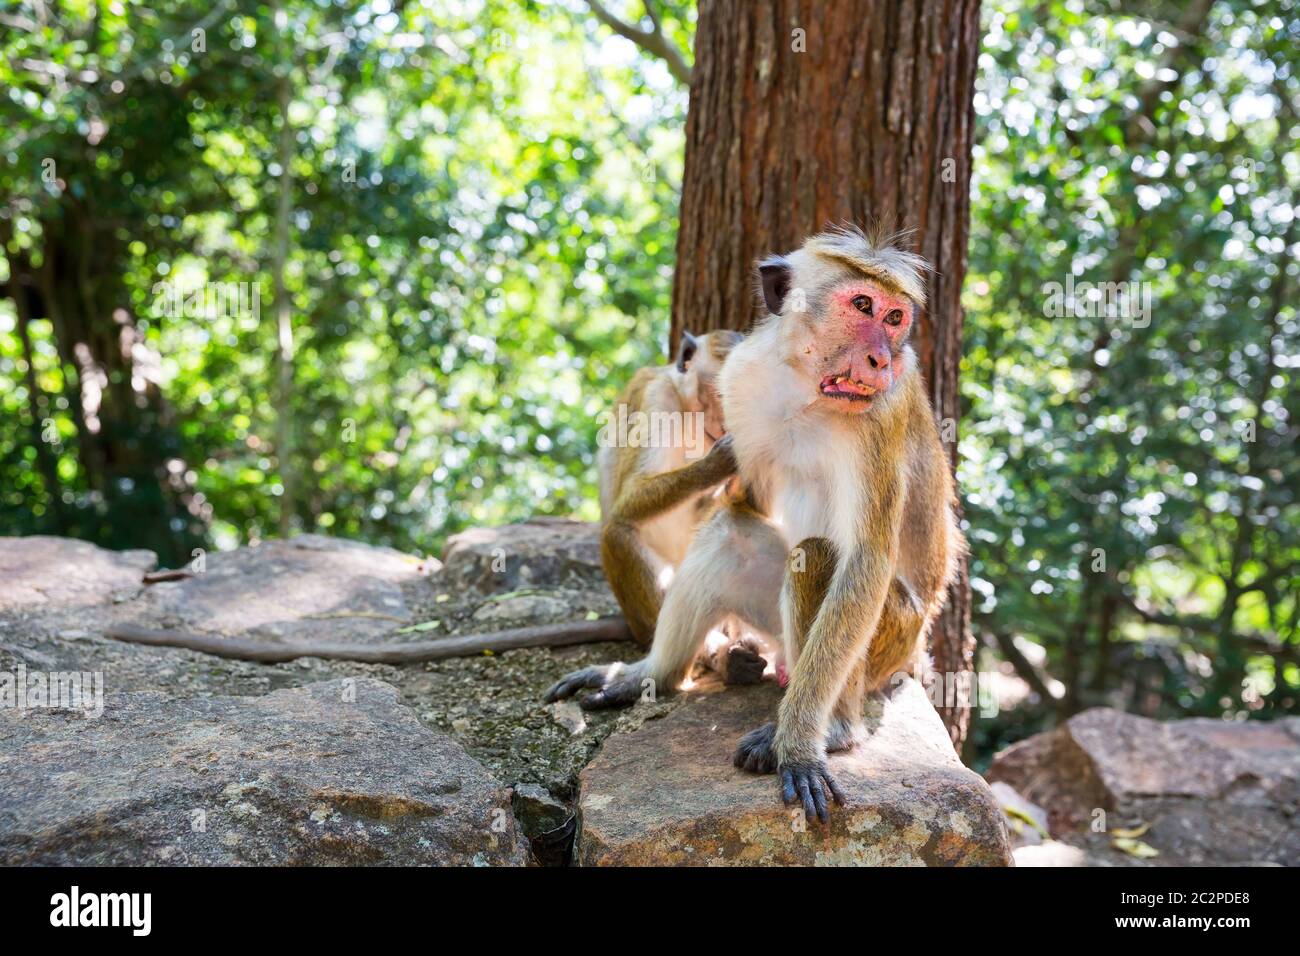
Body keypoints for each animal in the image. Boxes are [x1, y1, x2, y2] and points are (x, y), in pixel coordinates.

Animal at [546, 225, 963, 824]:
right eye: (863, 306)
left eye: (894, 317)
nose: (882, 360)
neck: (806, 386)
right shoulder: (742, 380)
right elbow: (749, 503)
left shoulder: (882, 412)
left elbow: (866, 559)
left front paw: (801, 749)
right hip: (770, 622)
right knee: (731, 536)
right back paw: (651, 676)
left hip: (892, 640)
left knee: (817, 558)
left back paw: (829, 729)